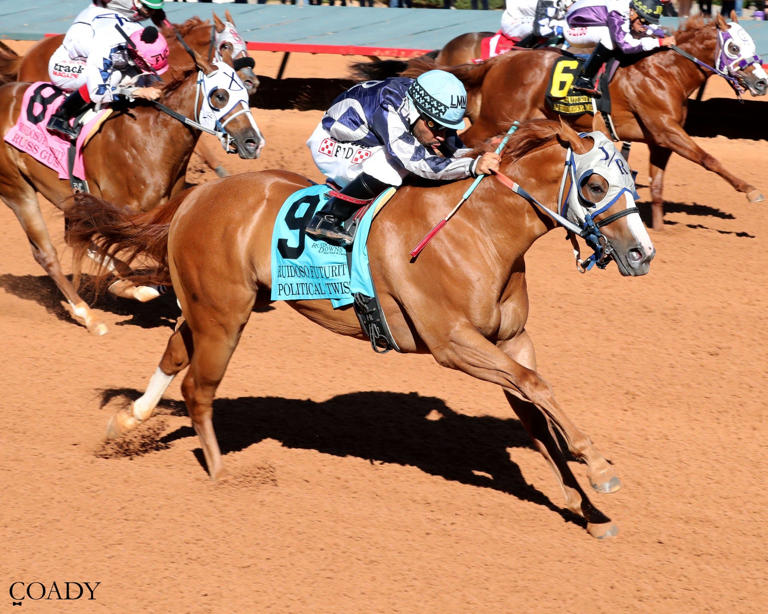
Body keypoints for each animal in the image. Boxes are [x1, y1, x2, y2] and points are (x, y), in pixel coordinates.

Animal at [0, 32, 264, 335]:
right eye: (220, 95)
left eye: (246, 94)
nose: (253, 142)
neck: (152, 139)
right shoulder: (122, 215)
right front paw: (141, 289)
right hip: (17, 189)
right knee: (47, 253)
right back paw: (88, 314)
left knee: (75, 239)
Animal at [65, 119, 655, 537]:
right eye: (595, 182)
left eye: (632, 179)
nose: (641, 254)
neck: (480, 231)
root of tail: (195, 196)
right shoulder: (454, 344)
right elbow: (537, 389)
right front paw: (599, 466)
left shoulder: (511, 341)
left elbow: (536, 414)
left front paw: (587, 509)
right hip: (224, 314)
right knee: (199, 388)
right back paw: (223, 476)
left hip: (209, 307)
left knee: (173, 353)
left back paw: (131, 419)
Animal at [405, 13, 768, 230]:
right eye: (734, 47)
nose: (762, 82)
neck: (665, 72)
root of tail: (498, 62)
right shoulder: (667, 130)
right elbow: (710, 159)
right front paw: (751, 191)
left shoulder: (660, 139)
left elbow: (659, 184)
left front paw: (660, 226)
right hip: (495, 118)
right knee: (463, 145)